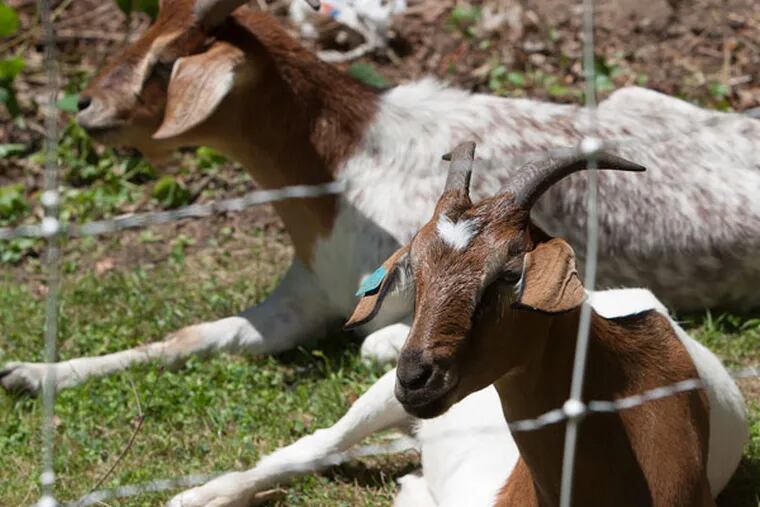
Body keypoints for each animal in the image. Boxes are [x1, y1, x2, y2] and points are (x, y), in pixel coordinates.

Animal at [2, 0, 758, 398]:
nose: (85, 106)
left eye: (164, 63)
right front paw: (29, 373)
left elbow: (372, 346)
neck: (341, 166)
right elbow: (194, 336)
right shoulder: (304, 296)